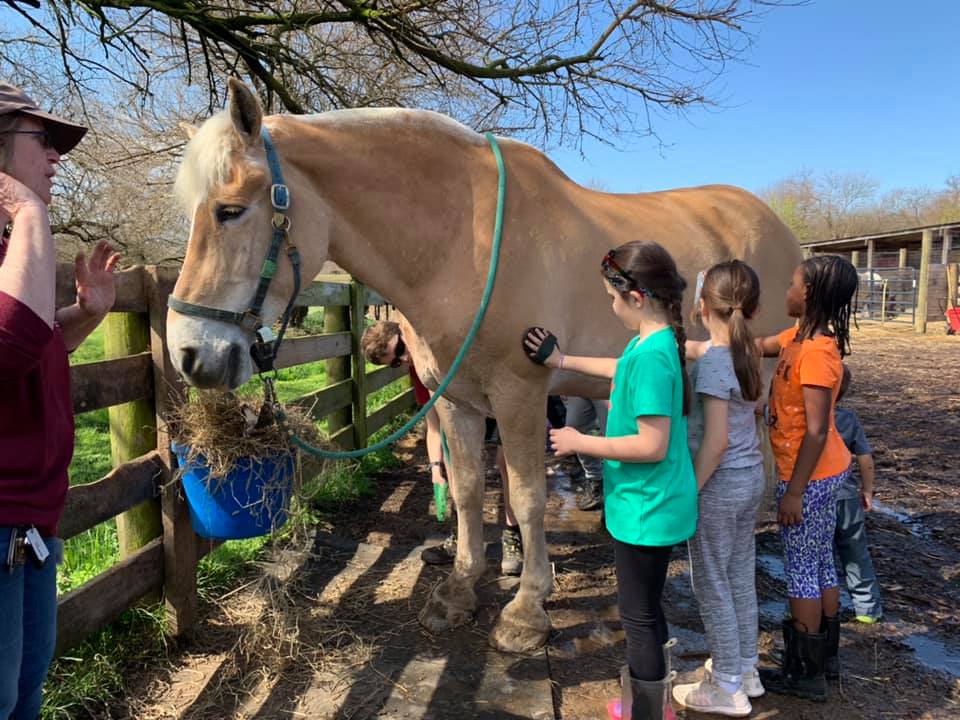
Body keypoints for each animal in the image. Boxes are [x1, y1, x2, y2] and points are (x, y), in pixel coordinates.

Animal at [167, 78, 802, 653]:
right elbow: (470, 489)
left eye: (229, 211)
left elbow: (525, 498)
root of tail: (778, 230)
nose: (188, 353)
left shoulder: (520, 396)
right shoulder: (457, 399)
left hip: (752, 381)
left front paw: (526, 611)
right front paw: (459, 591)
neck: (457, 244)